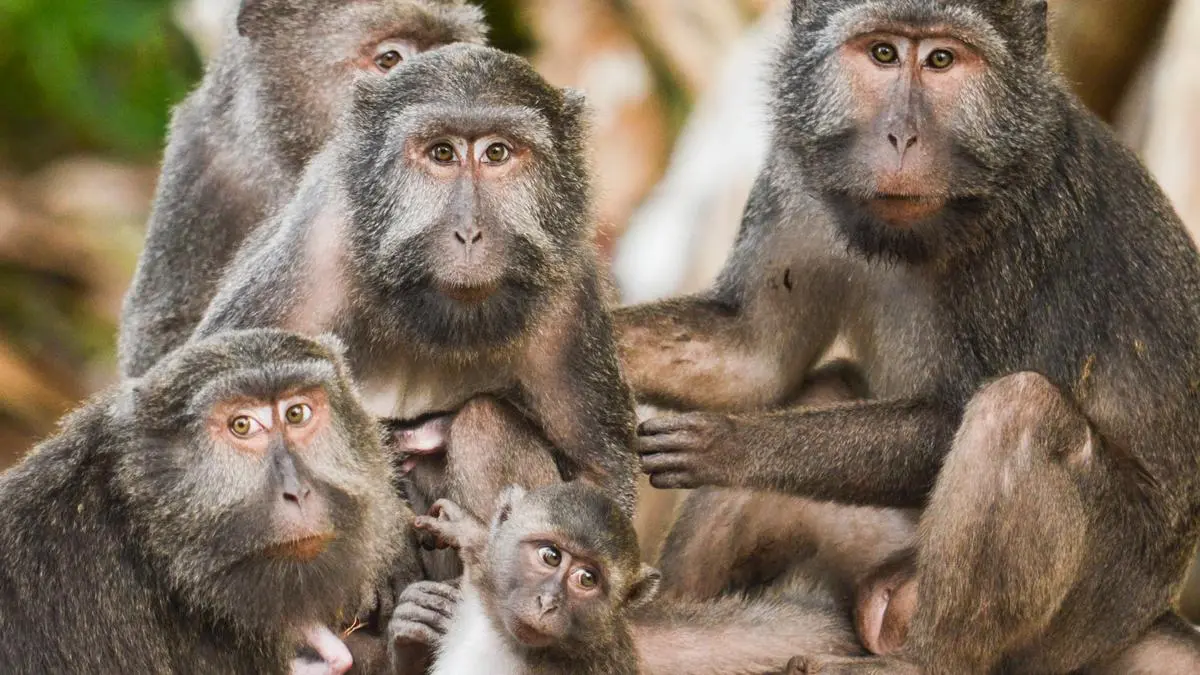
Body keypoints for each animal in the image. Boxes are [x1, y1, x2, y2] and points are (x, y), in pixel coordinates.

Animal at [193, 43, 639, 516]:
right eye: (441, 153)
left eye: (497, 153)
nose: (469, 231)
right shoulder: (315, 252)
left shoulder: (568, 285)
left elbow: (600, 473)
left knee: (485, 421)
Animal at [614, 0, 1200, 672]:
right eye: (883, 53)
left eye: (942, 59)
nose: (902, 136)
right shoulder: (793, 179)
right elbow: (754, 356)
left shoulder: (1032, 222)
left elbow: (952, 415)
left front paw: (733, 447)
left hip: (1087, 615)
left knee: (1020, 408)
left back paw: (925, 660)